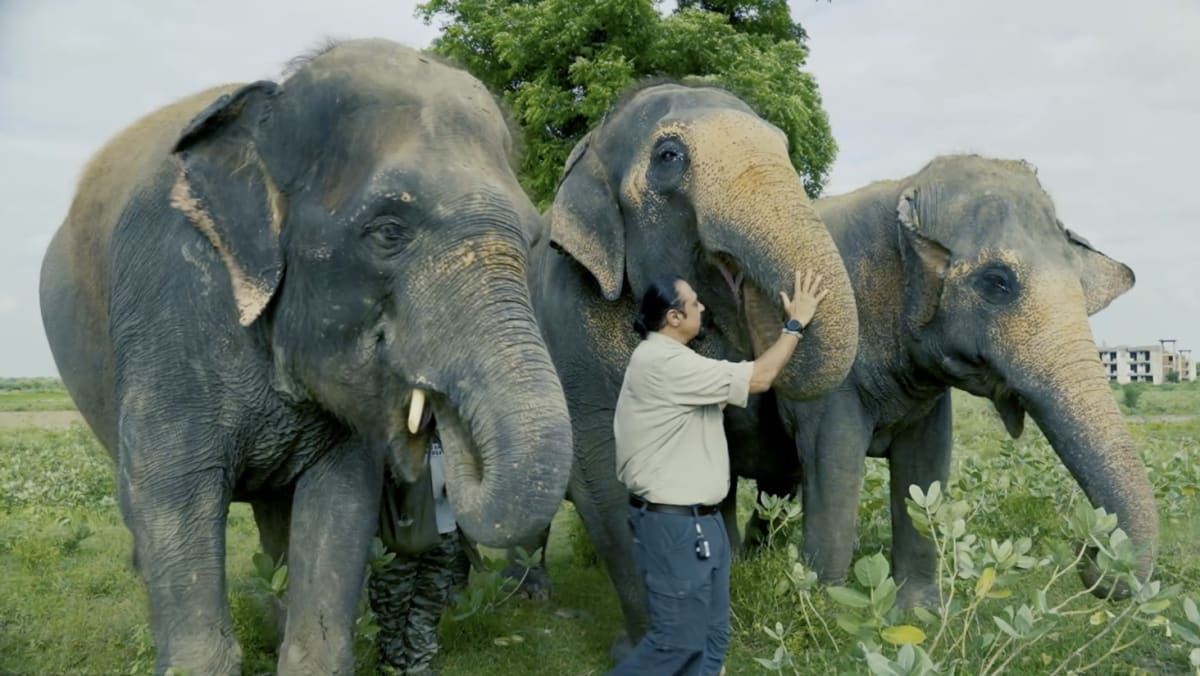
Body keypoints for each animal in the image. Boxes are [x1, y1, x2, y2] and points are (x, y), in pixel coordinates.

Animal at [38, 39, 572, 675]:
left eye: (535, 237)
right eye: (388, 231)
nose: (435, 444)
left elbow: (340, 501)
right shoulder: (168, 297)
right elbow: (171, 491)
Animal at [516, 81, 861, 651]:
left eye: (785, 147)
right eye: (669, 157)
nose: (792, 300)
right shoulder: (567, 314)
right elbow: (600, 471)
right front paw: (652, 643)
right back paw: (527, 594)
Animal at [734, 154, 1155, 607]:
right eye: (997, 282)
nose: (1089, 548)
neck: (904, 188)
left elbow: (927, 461)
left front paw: (918, 610)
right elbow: (834, 458)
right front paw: (828, 606)